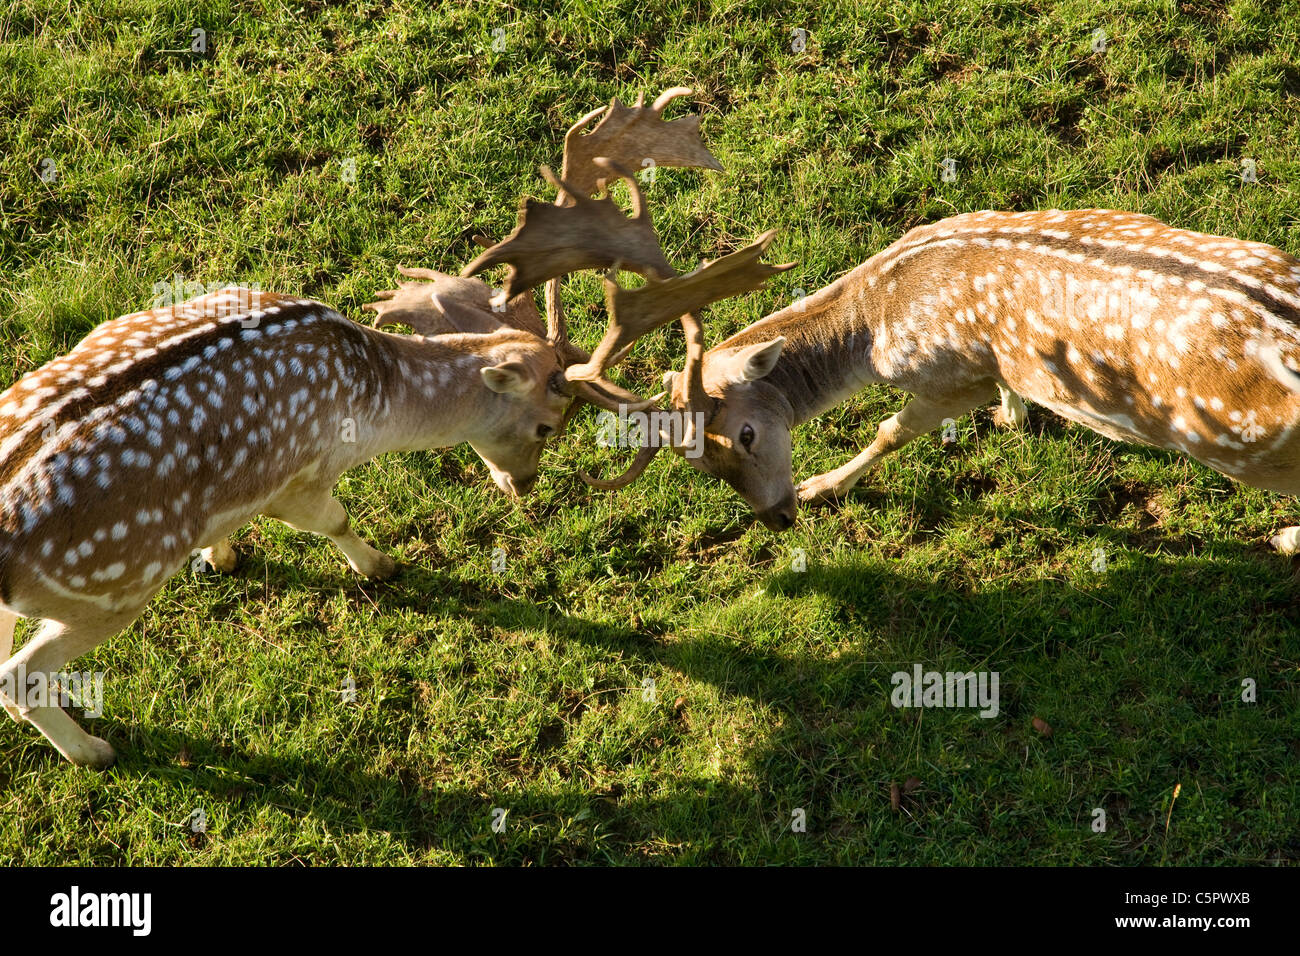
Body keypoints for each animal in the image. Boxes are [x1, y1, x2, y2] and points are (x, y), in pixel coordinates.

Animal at [0, 87, 786, 767]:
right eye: (546, 425)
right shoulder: (298, 477)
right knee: (19, 675)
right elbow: (336, 519)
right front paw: (379, 566)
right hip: (112, 581)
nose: (524, 488)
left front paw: (221, 555)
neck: (367, 396)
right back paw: (95, 751)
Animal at [581, 207, 1300, 551]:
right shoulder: (991, 358)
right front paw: (1016, 412)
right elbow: (1008, 384)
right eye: (699, 463)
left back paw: (1286, 539)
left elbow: (889, 430)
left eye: (748, 434)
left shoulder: (944, 379)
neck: (873, 326)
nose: (778, 519)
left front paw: (823, 486)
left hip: (1245, 446)